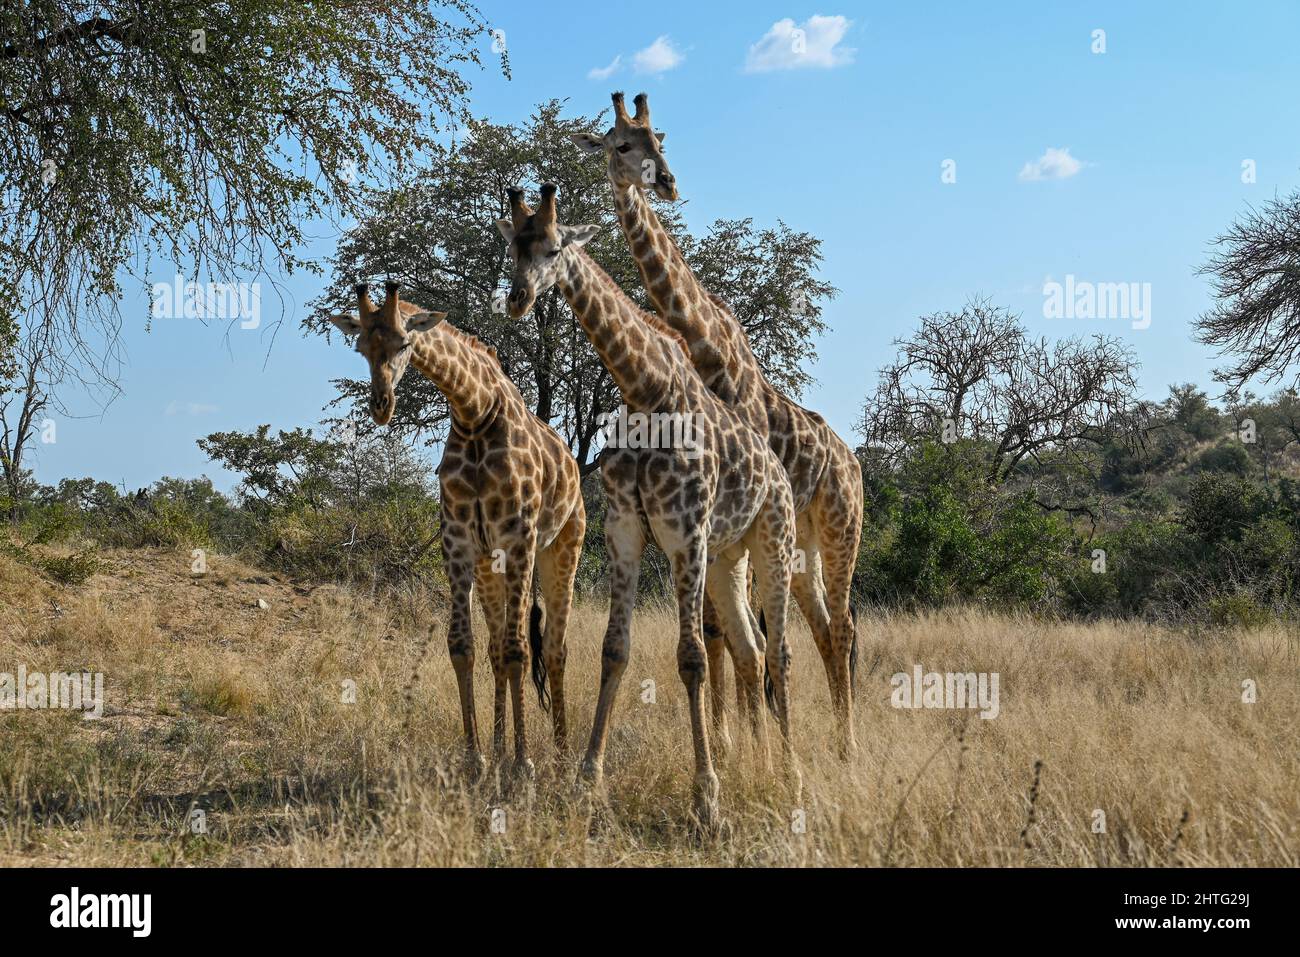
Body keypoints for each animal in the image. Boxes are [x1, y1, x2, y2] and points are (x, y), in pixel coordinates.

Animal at [329, 281, 586, 779]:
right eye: (361, 347)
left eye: (403, 344)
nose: (382, 407)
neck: (474, 411)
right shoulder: (460, 542)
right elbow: (463, 648)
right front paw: (477, 757)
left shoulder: (518, 539)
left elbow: (521, 650)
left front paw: (523, 763)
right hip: (491, 566)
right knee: (497, 648)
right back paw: (502, 748)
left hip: (563, 547)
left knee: (554, 648)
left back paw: (563, 755)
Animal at [496, 184, 797, 828]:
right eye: (513, 246)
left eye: (554, 247)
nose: (518, 298)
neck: (645, 389)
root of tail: (780, 473)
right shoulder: (625, 531)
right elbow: (614, 651)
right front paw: (587, 779)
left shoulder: (685, 532)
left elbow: (691, 658)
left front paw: (707, 799)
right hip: (728, 556)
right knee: (752, 646)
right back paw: (761, 764)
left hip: (772, 543)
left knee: (780, 650)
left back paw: (791, 774)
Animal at [573, 91, 866, 757]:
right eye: (621, 144)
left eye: (660, 139)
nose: (668, 182)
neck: (706, 345)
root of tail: (854, 462)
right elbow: (720, 632)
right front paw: (735, 745)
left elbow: (735, 635)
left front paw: (745, 744)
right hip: (804, 548)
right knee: (822, 627)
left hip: (841, 531)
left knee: (840, 626)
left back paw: (847, 746)